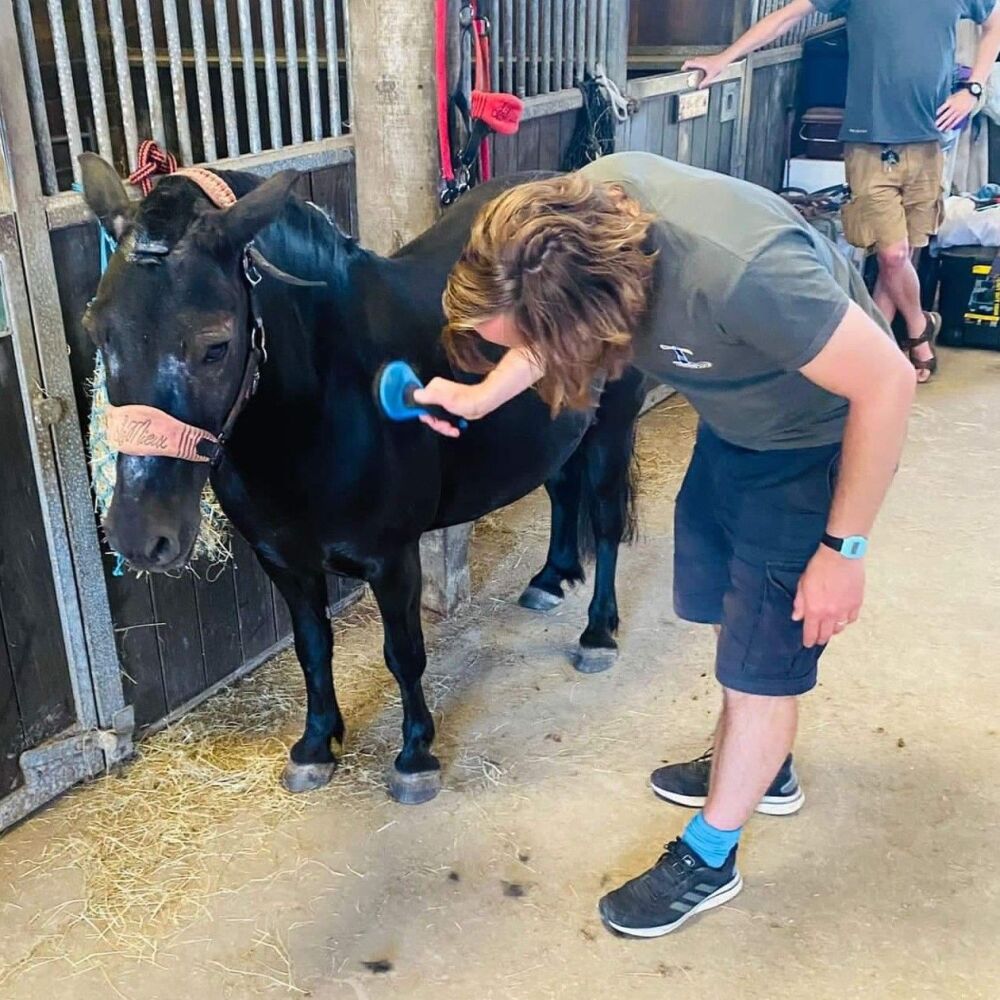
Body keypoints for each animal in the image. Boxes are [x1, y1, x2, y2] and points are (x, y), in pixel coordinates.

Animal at [79, 154, 646, 804]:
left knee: (605, 519)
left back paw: (598, 635)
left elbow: (403, 653)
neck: (331, 394)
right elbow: (312, 649)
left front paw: (415, 756)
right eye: (97, 330)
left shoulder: (393, 557)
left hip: (613, 424)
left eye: (216, 345)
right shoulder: (286, 562)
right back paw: (551, 579)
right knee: (562, 491)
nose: (139, 535)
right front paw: (315, 746)